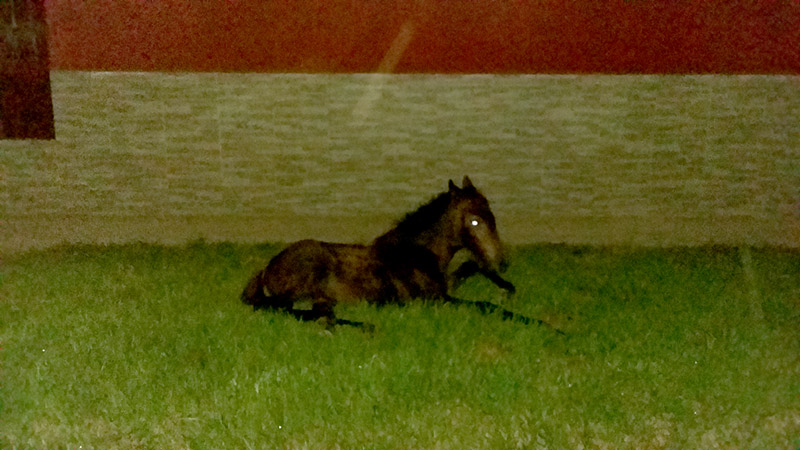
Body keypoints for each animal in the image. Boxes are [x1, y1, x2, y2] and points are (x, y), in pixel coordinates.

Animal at [242, 176, 552, 331]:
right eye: (475, 222)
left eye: (492, 217)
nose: (503, 261)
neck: (419, 252)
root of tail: (266, 269)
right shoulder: (435, 299)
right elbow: (485, 305)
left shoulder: (446, 285)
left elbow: (471, 268)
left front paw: (506, 287)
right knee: (276, 308)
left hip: (321, 295)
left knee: (316, 311)